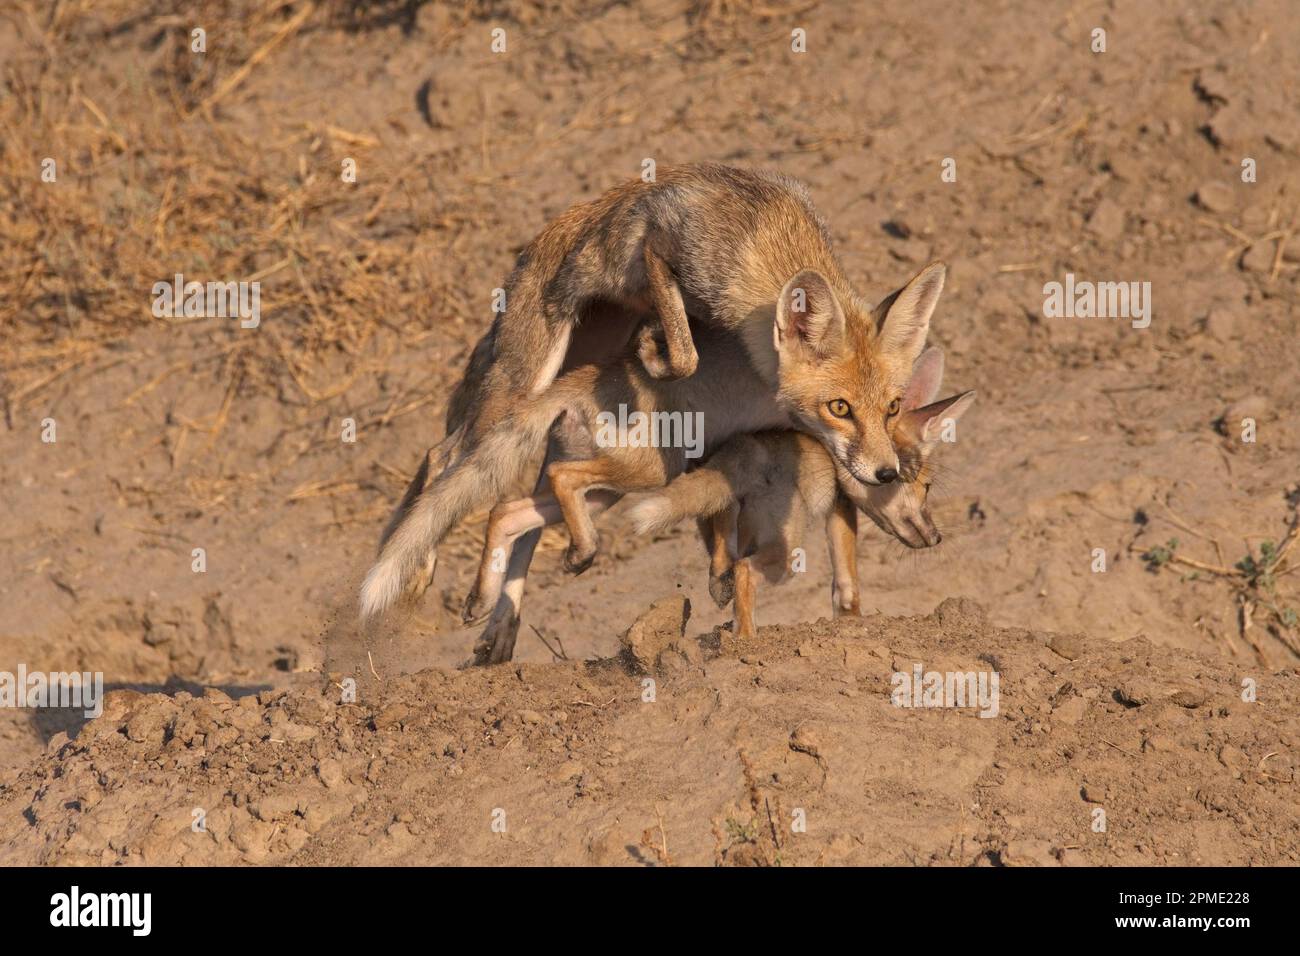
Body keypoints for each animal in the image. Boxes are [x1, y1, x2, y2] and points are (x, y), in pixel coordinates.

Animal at [360, 161, 945, 626]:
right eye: (839, 408)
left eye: (891, 407)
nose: (885, 472)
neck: (765, 238)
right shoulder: (660, 253)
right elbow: (684, 350)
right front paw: (655, 352)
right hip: (531, 385)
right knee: (445, 459)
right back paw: (426, 570)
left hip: (593, 439)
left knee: (508, 502)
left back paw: (497, 613)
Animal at [625, 347, 975, 639]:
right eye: (925, 486)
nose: (936, 537)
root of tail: (750, 450)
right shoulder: (840, 507)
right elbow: (847, 587)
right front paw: (852, 623)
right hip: (786, 557)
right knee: (744, 570)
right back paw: (746, 642)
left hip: (738, 521)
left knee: (724, 560)